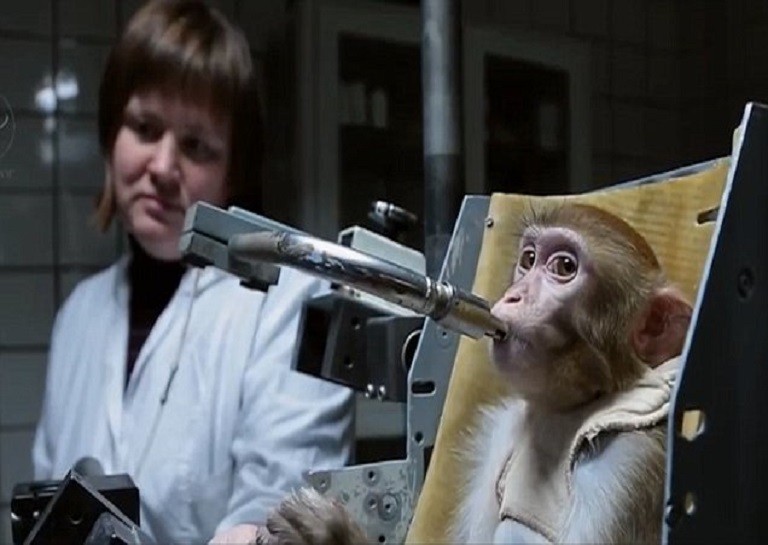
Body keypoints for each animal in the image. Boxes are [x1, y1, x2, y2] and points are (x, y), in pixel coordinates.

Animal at [257, 203, 692, 544]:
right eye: (528, 259)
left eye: (564, 267)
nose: (513, 296)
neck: (570, 411)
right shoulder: (499, 438)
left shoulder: (626, 465)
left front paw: (331, 533)